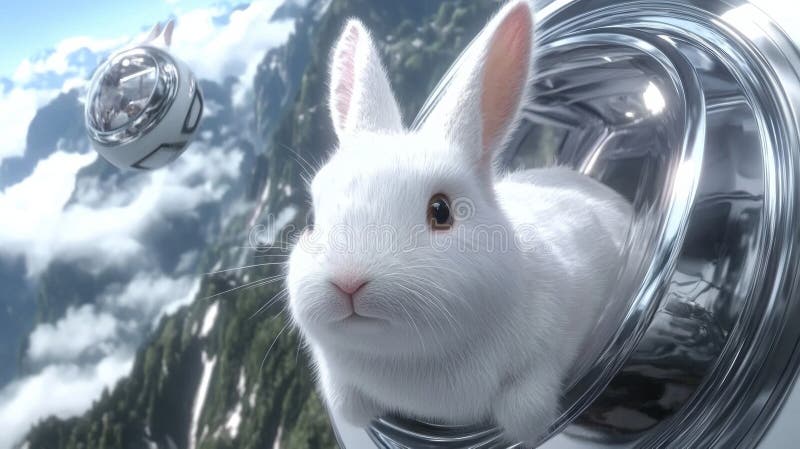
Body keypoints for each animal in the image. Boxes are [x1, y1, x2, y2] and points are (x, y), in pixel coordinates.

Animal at [286, 0, 632, 445]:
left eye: (441, 211)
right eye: (312, 218)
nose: (348, 281)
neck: (410, 365)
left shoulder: (553, 341)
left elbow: (527, 403)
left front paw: (527, 429)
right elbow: (346, 400)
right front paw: (355, 410)